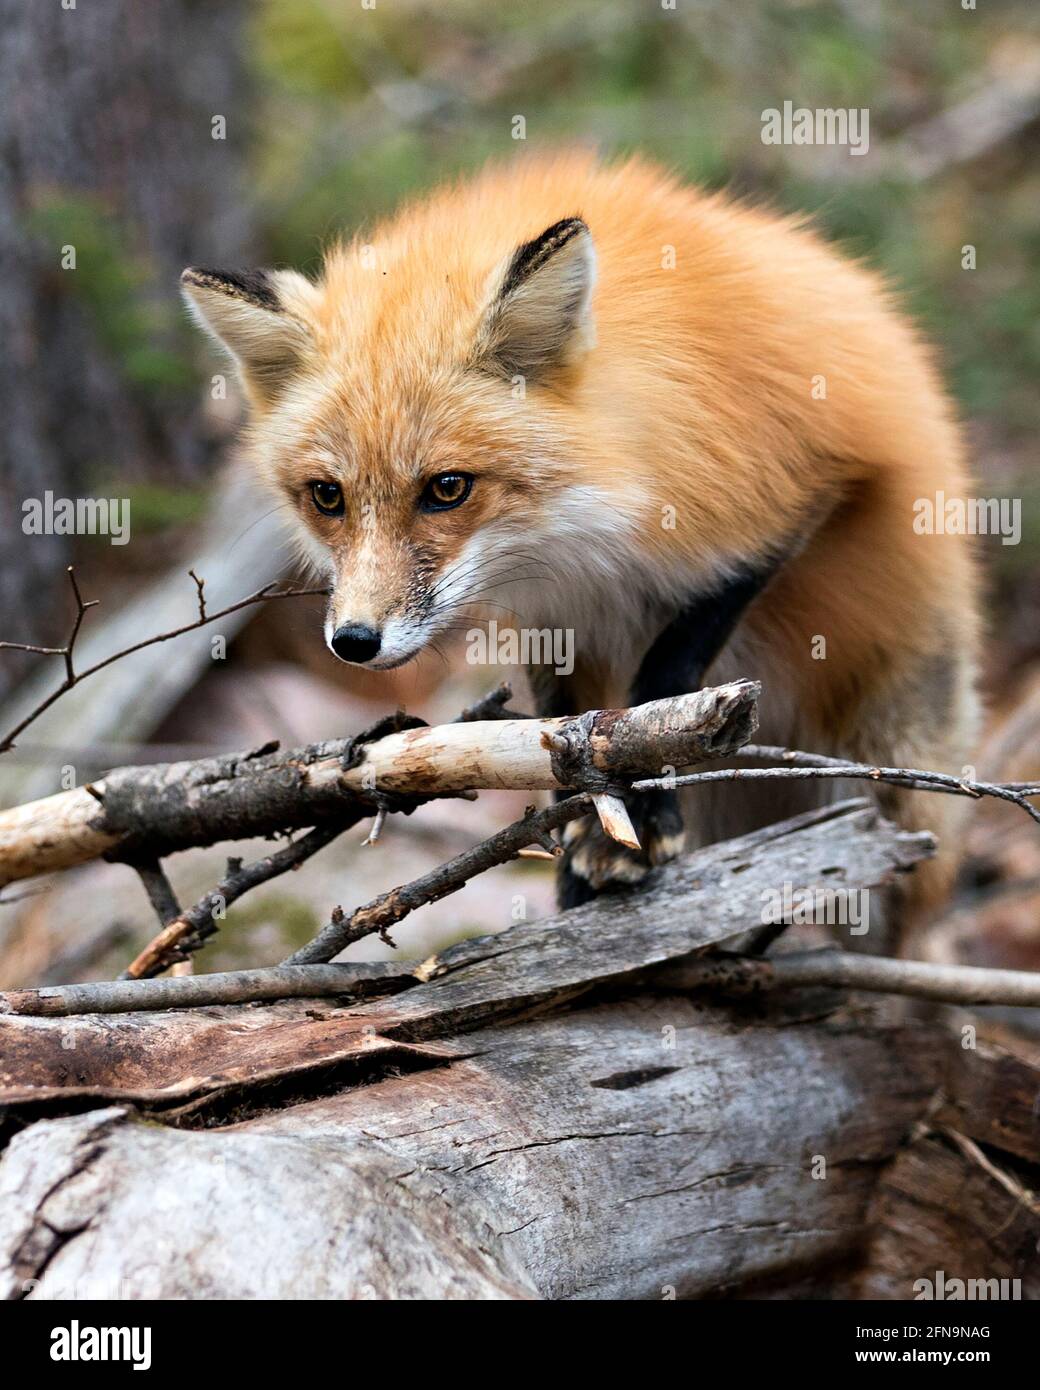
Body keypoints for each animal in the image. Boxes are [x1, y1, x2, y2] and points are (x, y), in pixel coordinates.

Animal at [181, 151, 980, 925]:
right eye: (328, 497)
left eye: (447, 488)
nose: (354, 642)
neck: (588, 528)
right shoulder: (554, 614)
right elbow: (564, 731)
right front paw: (583, 838)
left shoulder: (794, 492)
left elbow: (667, 677)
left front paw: (641, 819)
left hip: (887, 787)